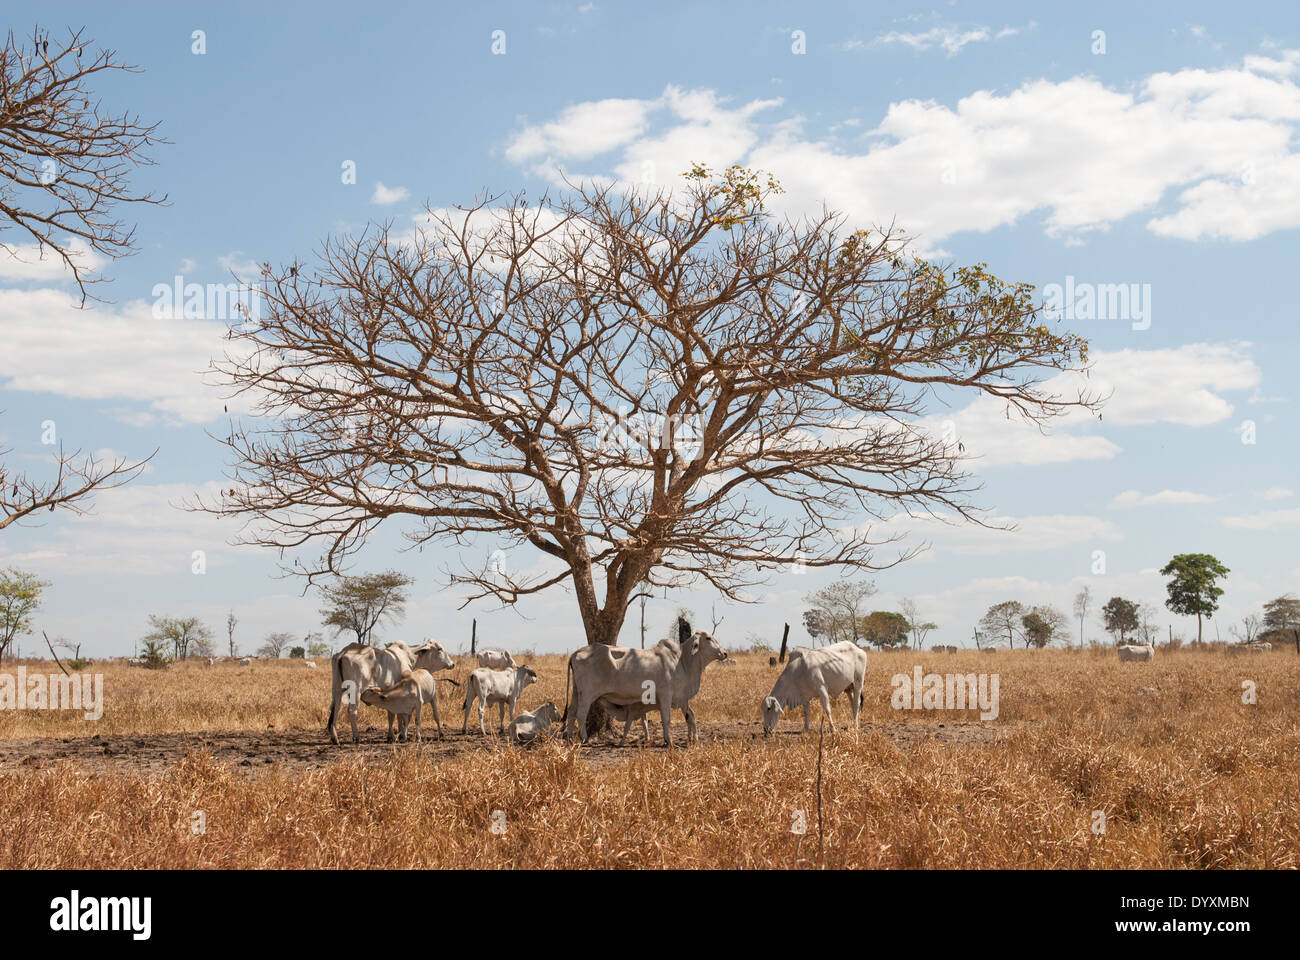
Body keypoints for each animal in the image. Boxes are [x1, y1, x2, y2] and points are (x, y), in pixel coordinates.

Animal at [595, 629, 728, 746]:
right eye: (708, 638)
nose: (725, 653)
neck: (682, 662)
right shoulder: (666, 695)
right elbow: (665, 719)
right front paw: (667, 741)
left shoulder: (682, 697)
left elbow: (688, 717)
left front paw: (691, 740)